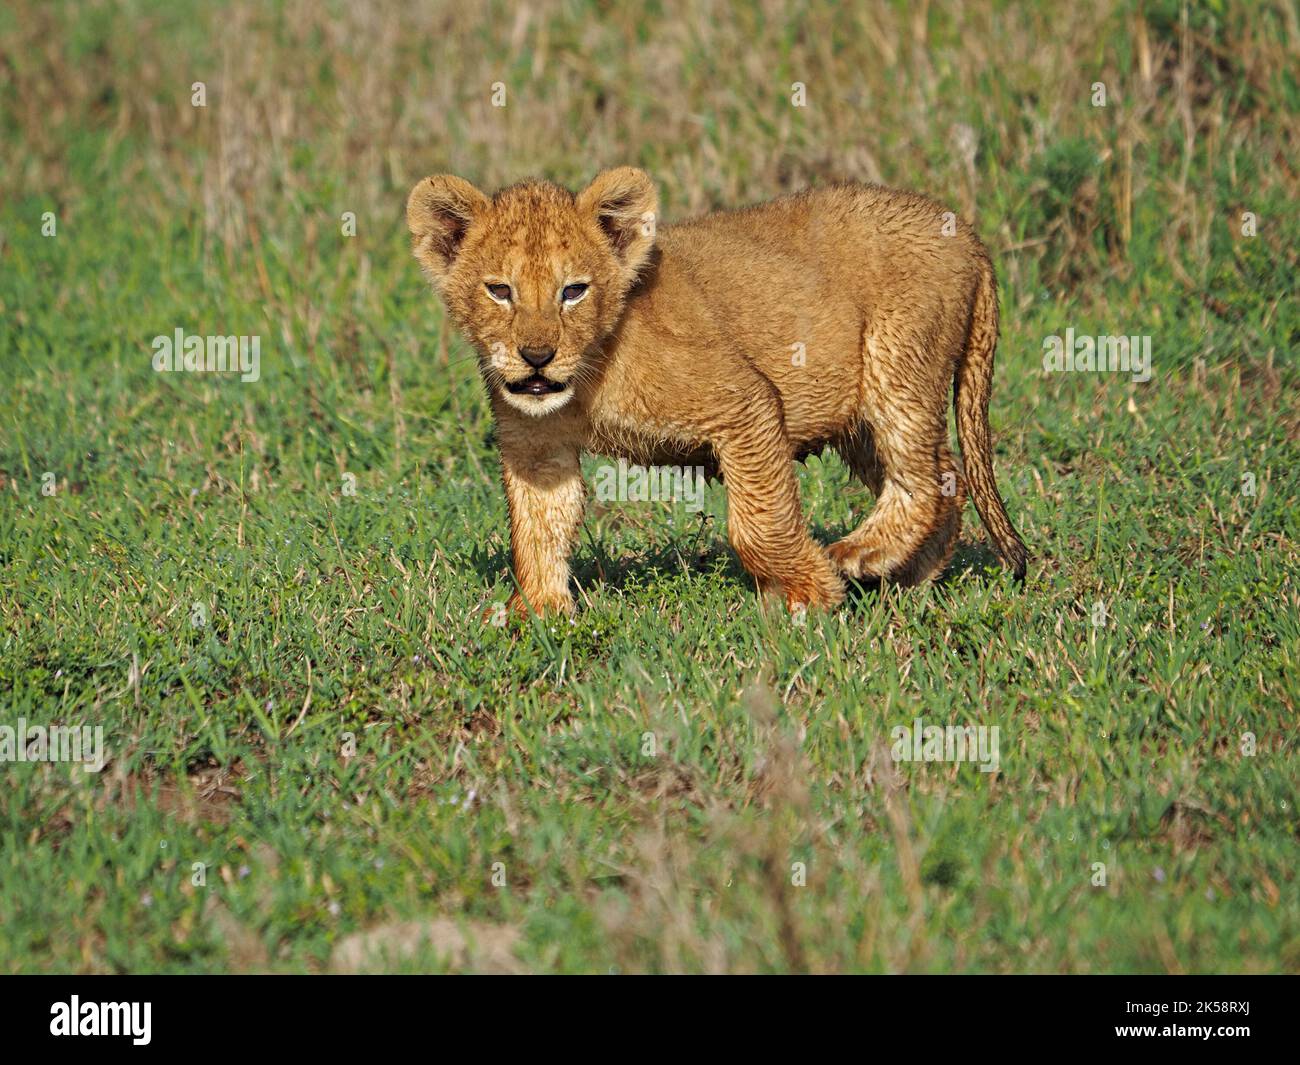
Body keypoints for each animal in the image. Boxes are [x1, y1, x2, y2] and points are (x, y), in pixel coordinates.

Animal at [406, 167, 1027, 616]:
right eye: (500, 290)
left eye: (574, 290)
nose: (537, 356)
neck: (587, 377)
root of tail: (968, 236)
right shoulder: (536, 444)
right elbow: (537, 527)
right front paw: (539, 613)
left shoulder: (744, 402)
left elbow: (758, 524)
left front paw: (809, 594)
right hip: (858, 419)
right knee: (948, 482)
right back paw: (907, 580)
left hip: (897, 365)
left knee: (931, 475)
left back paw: (858, 554)